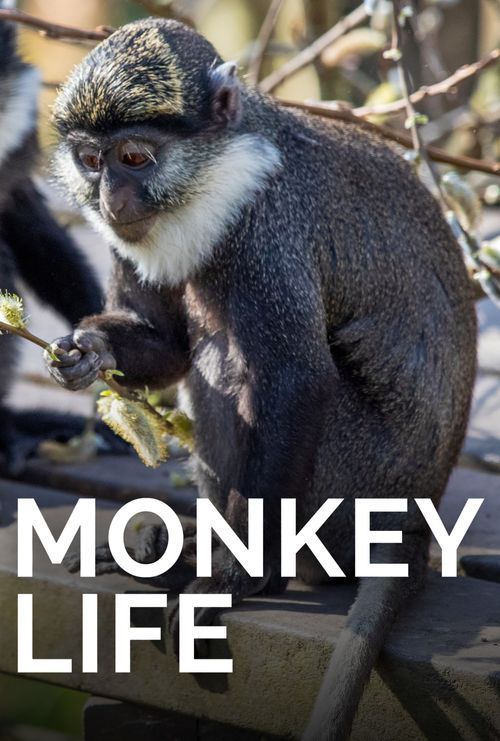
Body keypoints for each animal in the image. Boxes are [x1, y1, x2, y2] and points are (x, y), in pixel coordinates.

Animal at [44, 18, 477, 741]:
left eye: (134, 157)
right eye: (92, 162)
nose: (109, 199)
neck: (219, 174)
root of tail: (414, 520)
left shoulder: (266, 235)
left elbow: (293, 379)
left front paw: (234, 575)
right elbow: (165, 345)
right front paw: (86, 352)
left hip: (351, 486)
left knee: (227, 361)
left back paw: (250, 565)